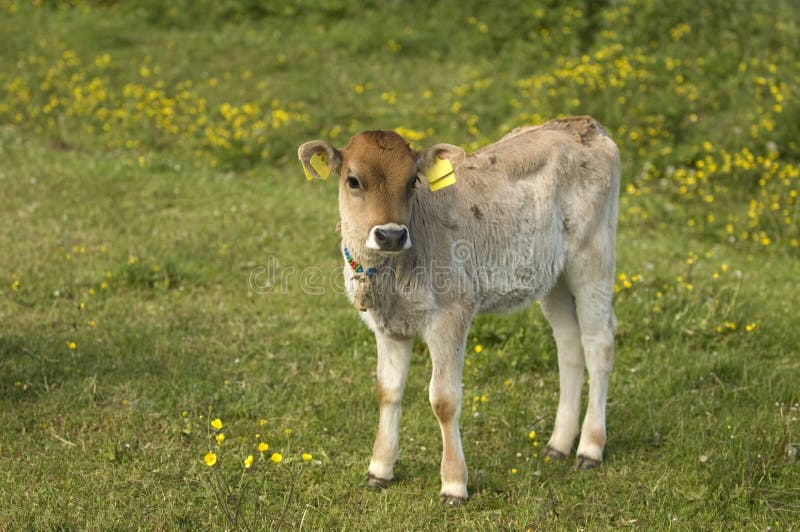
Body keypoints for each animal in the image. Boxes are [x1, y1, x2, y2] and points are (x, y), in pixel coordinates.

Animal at [298, 116, 620, 505]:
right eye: (353, 180)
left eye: (413, 181)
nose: (390, 235)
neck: (389, 274)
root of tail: (585, 124)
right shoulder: (388, 324)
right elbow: (387, 389)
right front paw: (380, 469)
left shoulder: (452, 312)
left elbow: (444, 399)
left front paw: (454, 484)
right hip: (552, 276)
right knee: (569, 344)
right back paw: (558, 443)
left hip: (593, 255)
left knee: (598, 342)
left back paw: (590, 447)